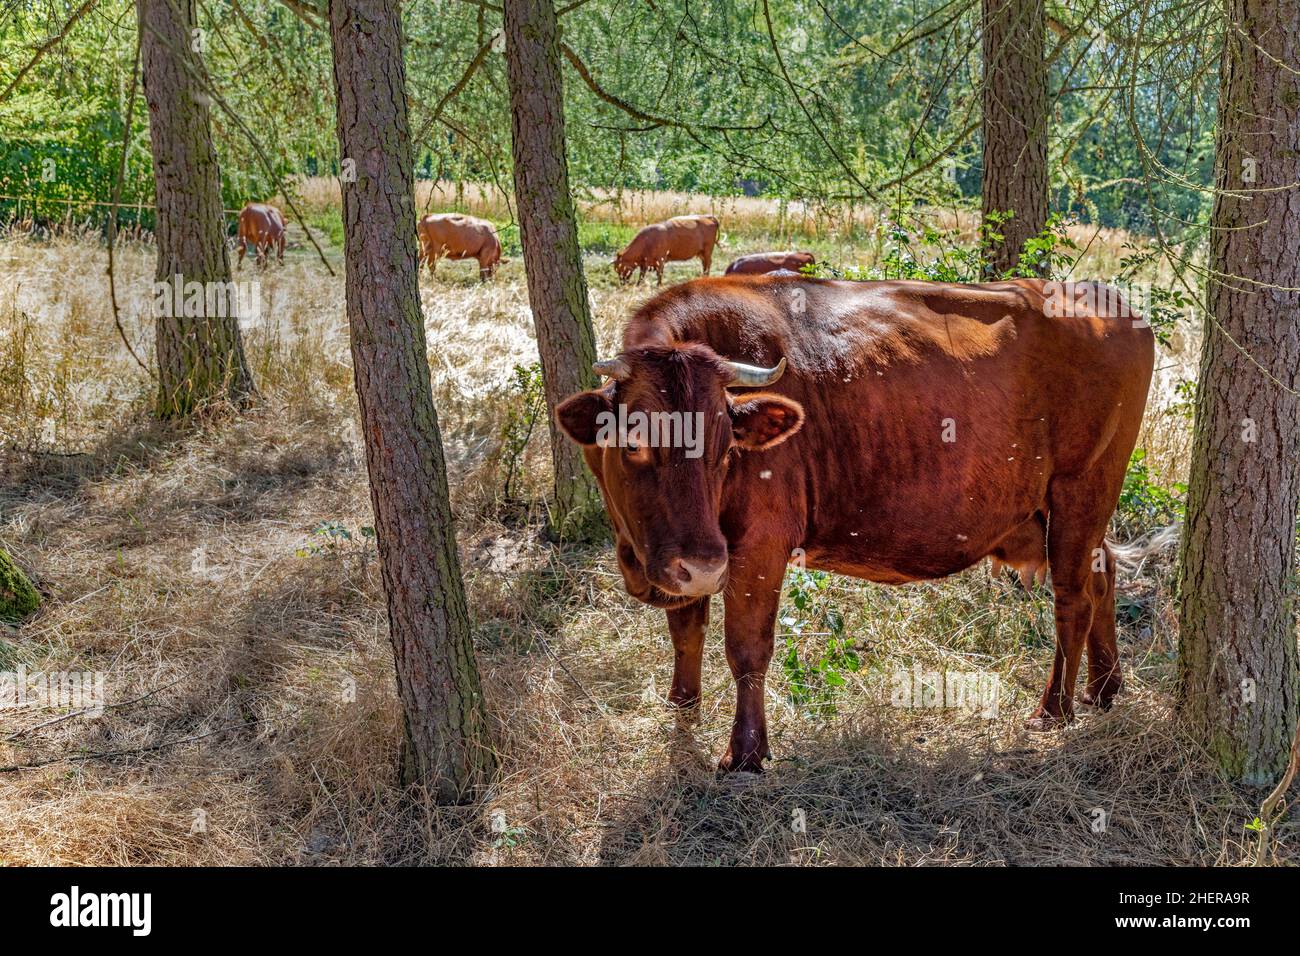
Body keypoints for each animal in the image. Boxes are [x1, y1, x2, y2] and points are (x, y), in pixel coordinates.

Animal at [555, 276, 1154, 773]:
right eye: (634, 442)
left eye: (727, 450)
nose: (702, 567)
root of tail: (1105, 299)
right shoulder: (687, 555)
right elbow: (686, 631)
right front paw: (683, 714)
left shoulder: (757, 547)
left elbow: (747, 647)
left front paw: (745, 754)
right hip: (1067, 507)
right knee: (1103, 575)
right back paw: (1104, 689)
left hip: (1081, 490)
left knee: (1073, 597)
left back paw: (1054, 711)